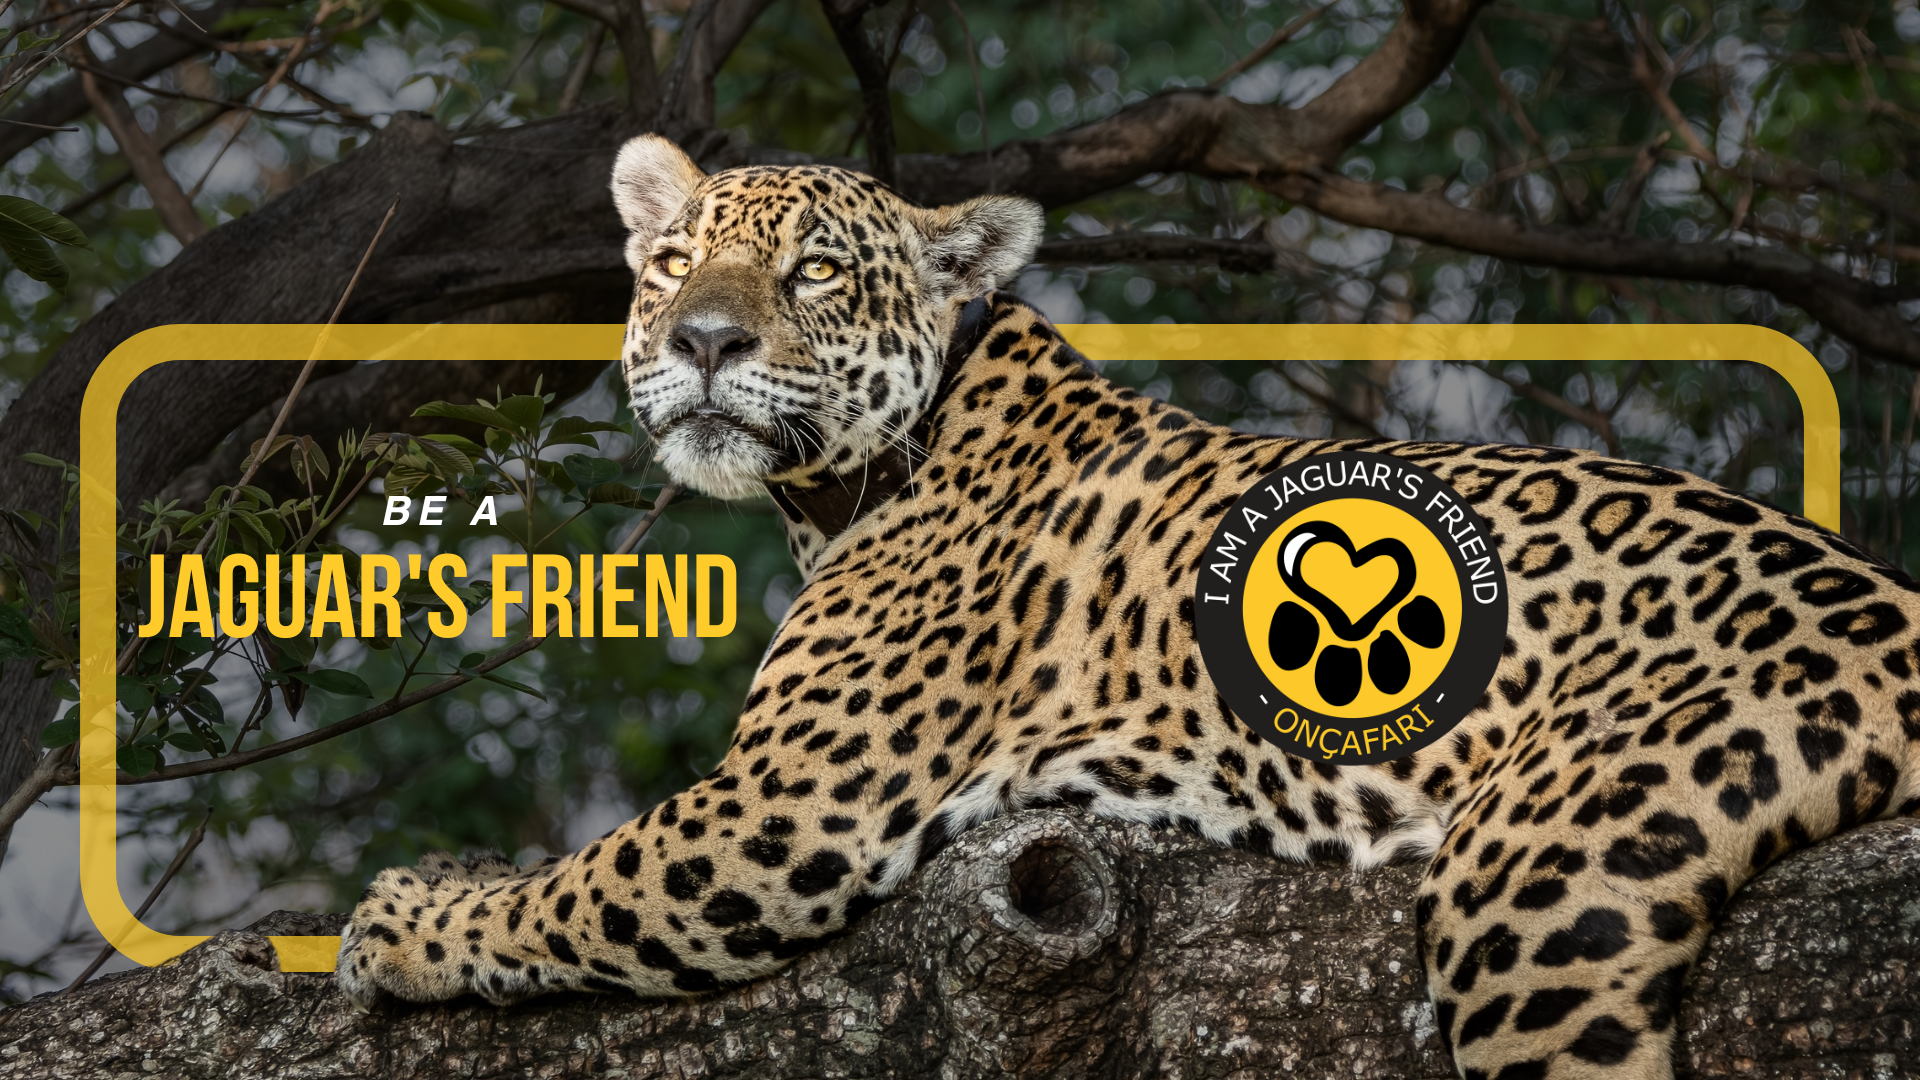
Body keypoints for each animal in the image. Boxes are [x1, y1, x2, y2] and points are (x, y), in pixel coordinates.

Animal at [338, 133, 1920, 1080]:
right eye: (671, 264)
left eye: (816, 272)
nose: (704, 340)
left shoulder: (783, 813)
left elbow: (576, 885)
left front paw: (406, 919)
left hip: (1547, 884)